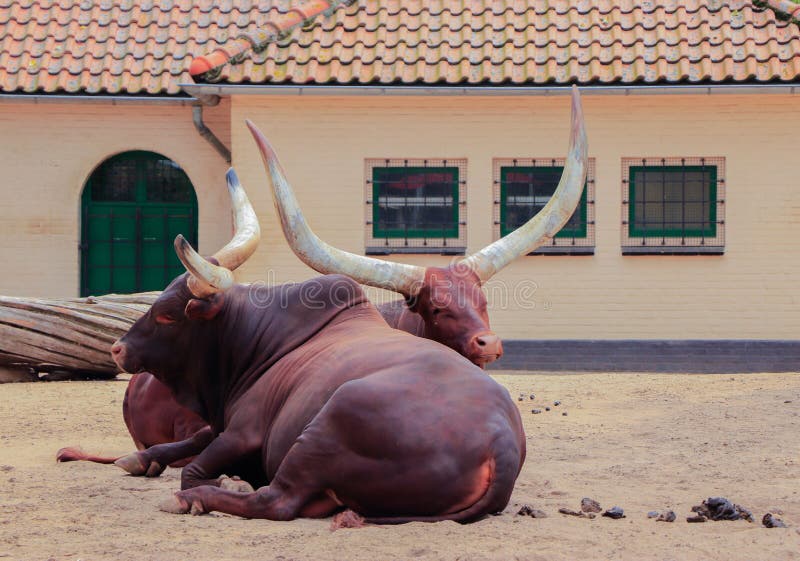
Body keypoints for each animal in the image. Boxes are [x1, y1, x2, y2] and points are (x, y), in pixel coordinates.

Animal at [109, 168, 526, 523]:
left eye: (166, 314)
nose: (118, 348)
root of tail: (502, 443)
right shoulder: (219, 428)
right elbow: (187, 445)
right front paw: (140, 459)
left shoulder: (243, 432)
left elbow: (195, 469)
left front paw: (214, 482)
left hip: (329, 421)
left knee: (276, 500)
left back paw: (195, 499)